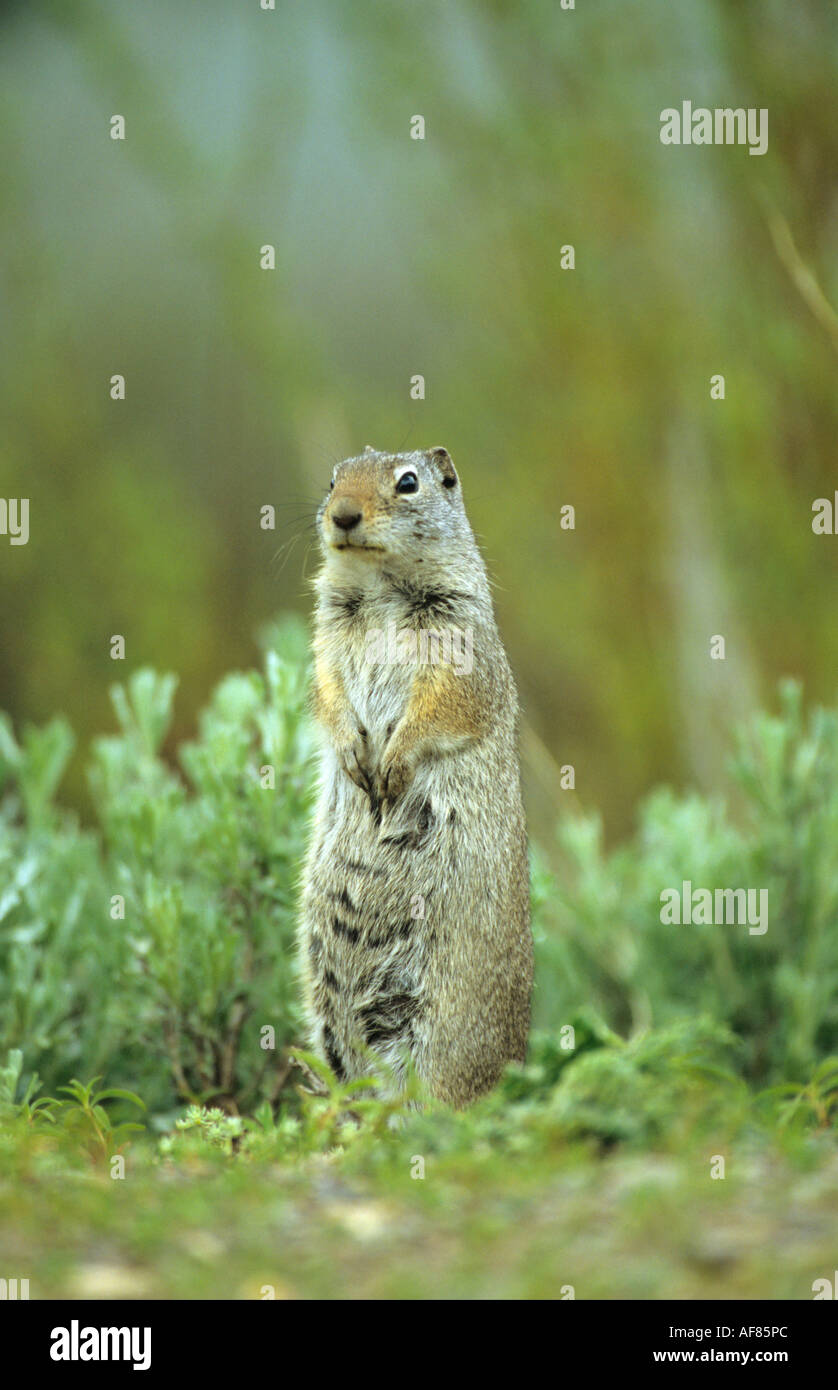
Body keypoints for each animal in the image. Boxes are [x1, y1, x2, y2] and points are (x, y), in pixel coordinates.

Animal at [298, 446, 533, 1107]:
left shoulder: (460, 645)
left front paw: (393, 762)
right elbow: (328, 693)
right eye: (333, 479)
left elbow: (440, 708)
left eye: (409, 483)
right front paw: (354, 753)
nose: (343, 515)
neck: (379, 586)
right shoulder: (326, 644)